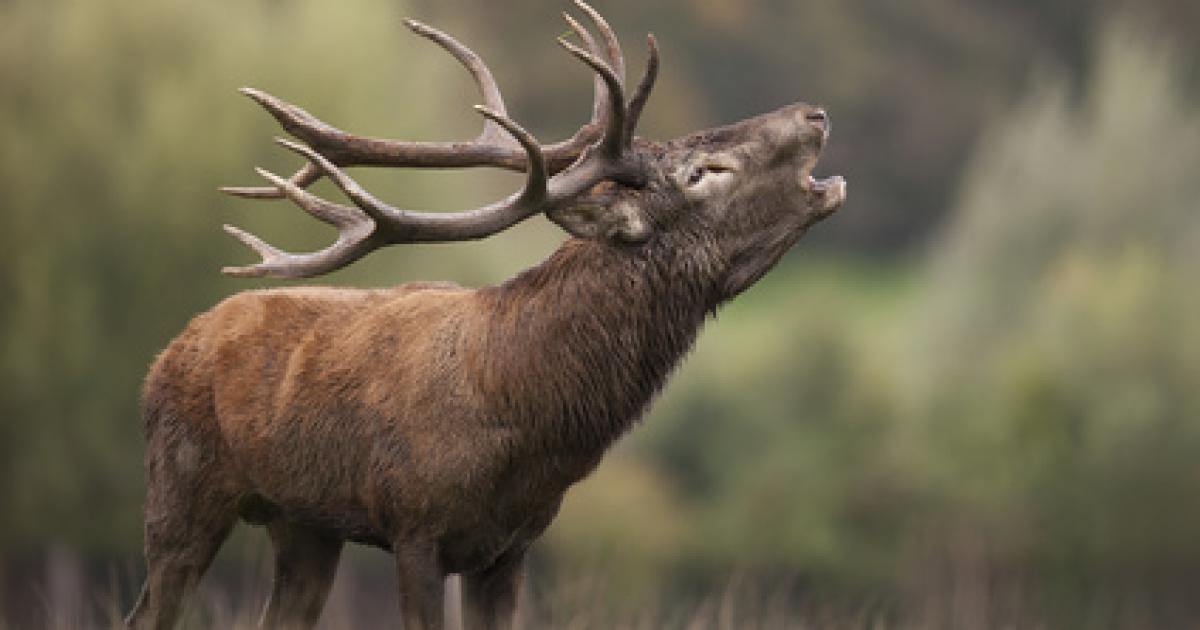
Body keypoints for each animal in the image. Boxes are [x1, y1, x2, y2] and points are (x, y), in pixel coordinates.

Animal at [126, 2, 845, 629]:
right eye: (703, 172)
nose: (814, 113)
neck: (525, 422)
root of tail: (165, 355)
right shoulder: (414, 525)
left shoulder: (511, 547)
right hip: (179, 491)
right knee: (147, 611)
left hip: (303, 525)